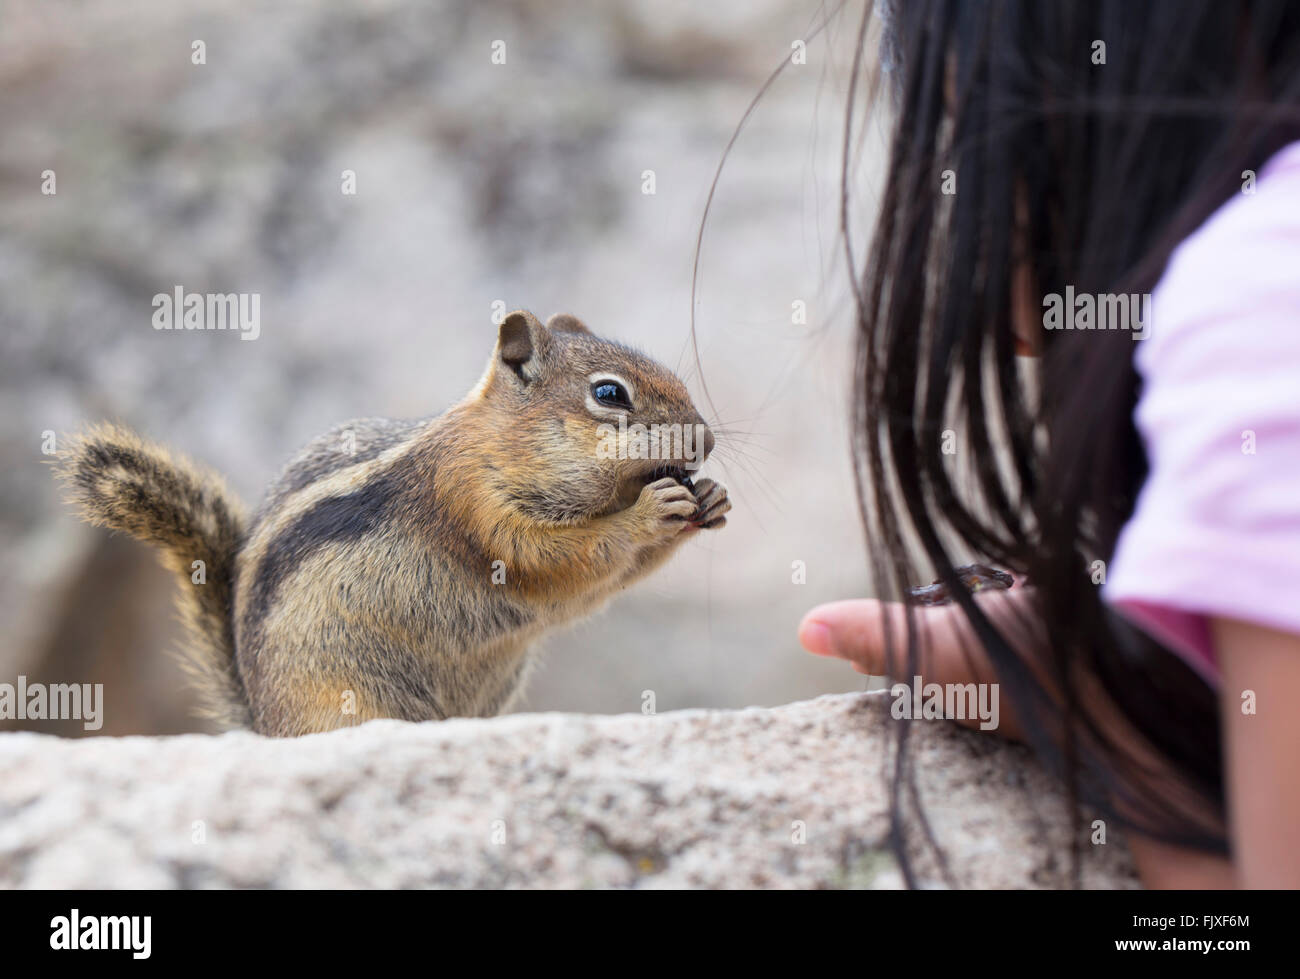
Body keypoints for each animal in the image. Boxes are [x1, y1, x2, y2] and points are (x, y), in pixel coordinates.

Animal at [54, 310, 730, 737]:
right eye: (610, 394)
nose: (707, 441)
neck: (499, 445)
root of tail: (265, 723)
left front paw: (712, 499)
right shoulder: (474, 506)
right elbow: (560, 558)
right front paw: (648, 512)